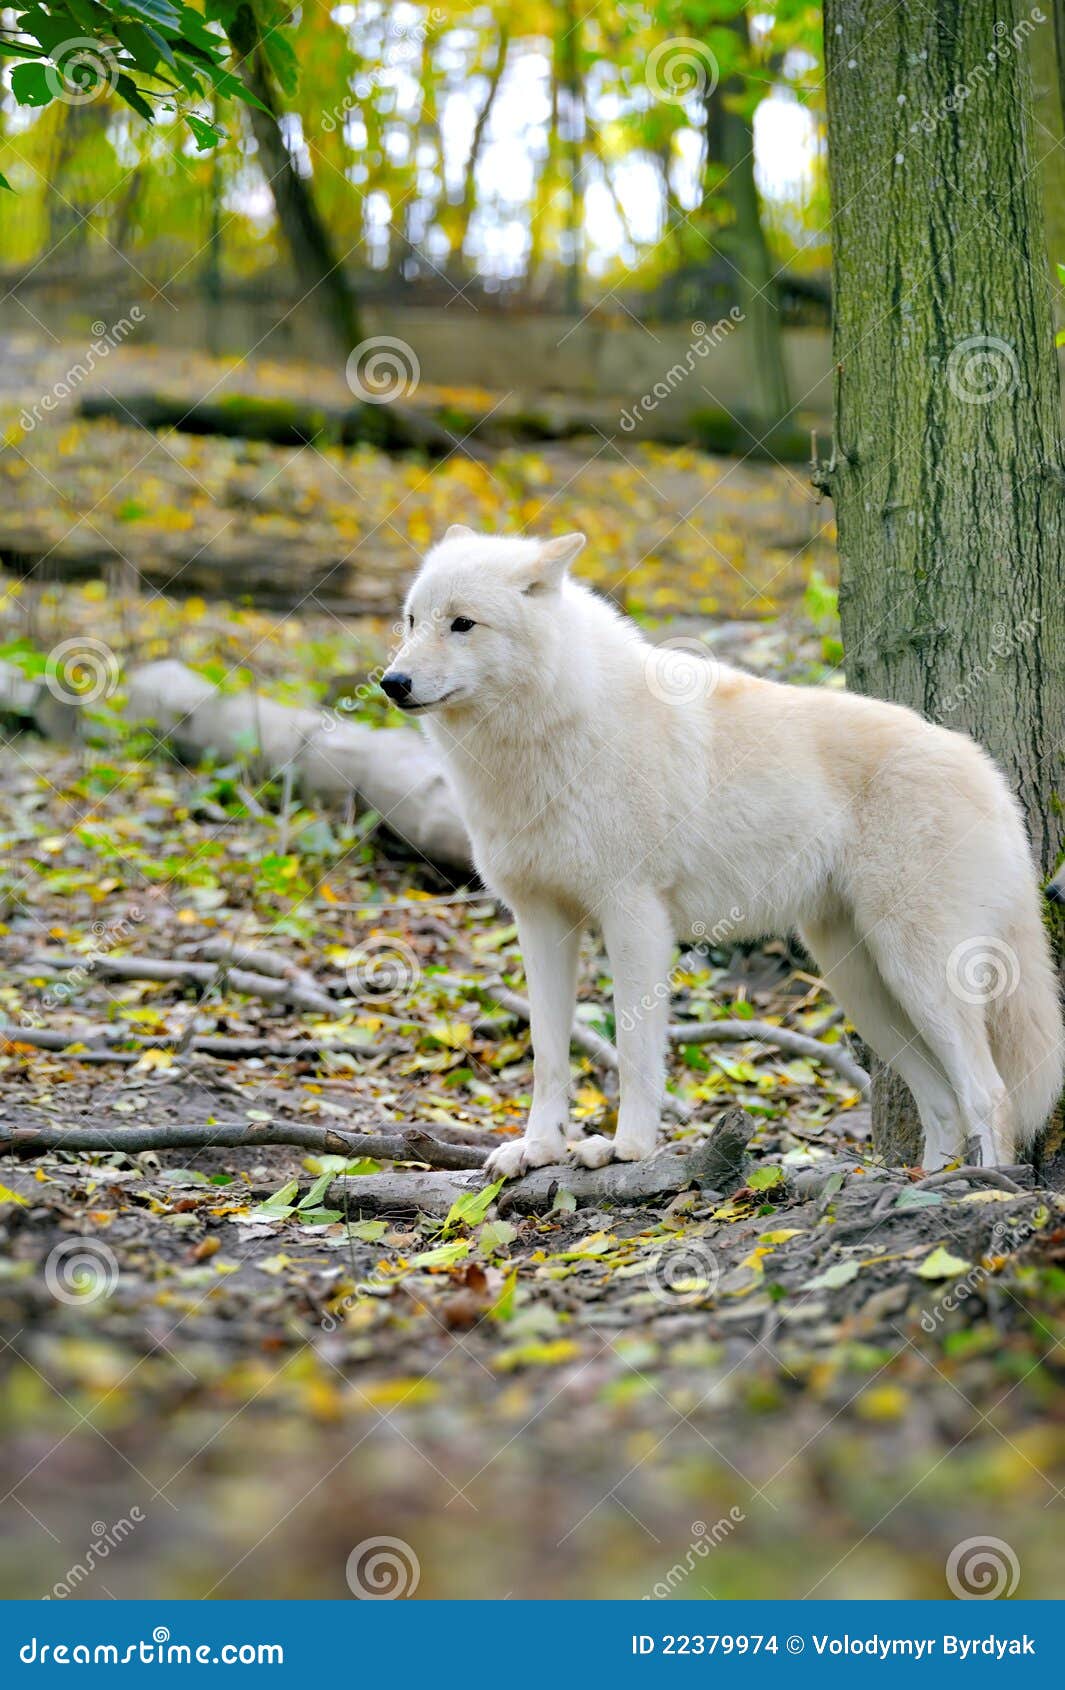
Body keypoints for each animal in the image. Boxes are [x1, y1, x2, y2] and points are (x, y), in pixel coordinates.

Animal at [382, 526, 1063, 1177]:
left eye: (462, 623)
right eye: (412, 621)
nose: (392, 683)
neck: (547, 733)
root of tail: (988, 772)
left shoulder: (635, 920)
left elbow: (635, 1050)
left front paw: (625, 1149)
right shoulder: (540, 920)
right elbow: (548, 1053)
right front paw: (537, 1150)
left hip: (916, 972)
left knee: (990, 1094)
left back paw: (985, 1186)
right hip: (860, 980)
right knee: (943, 1101)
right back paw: (924, 1182)